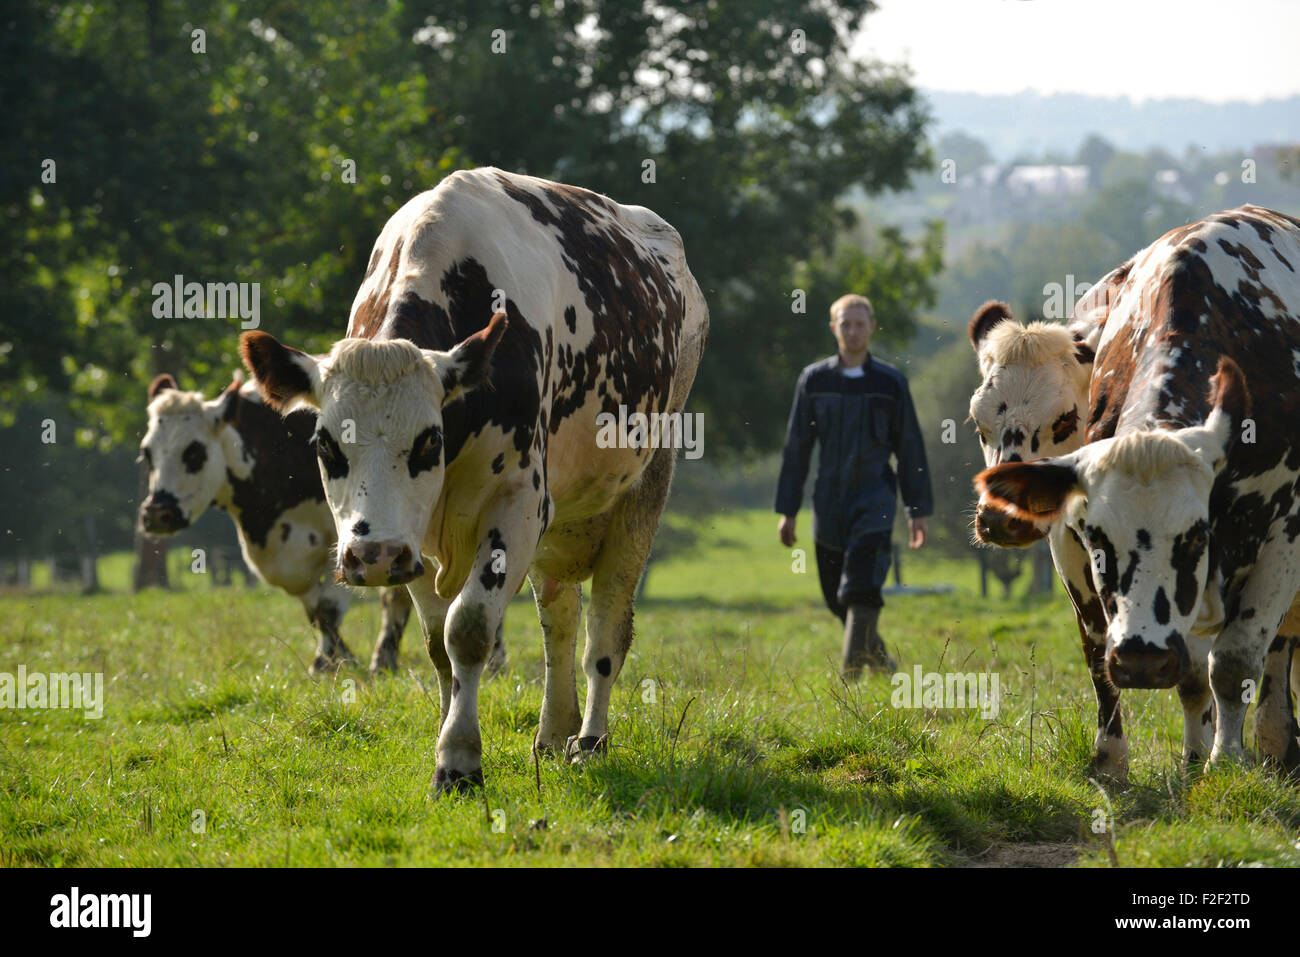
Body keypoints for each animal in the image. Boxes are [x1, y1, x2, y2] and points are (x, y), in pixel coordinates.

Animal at [138, 372, 418, 675]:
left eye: (194, 452)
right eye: (147, 453)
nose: (156, 513)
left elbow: (329, 607)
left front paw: (327, 663)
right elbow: (315, 610)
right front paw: (340, 658)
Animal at [239, 167, 709, 793]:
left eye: (428, 440)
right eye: (325, 444)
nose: (372, 556)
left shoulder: (517, 505)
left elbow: (468, 629)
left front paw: (459, 762)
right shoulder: (417, 540)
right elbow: (437, 645)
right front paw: (444, 737)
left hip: (643, 486)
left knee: (606, 627)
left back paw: (589, 741)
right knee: (558, 624)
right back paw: (552, 734)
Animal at [974, 205, 1300, 771]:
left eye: (1064, 420)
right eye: (979, 427)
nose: (998, 520)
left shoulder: (1285, 533)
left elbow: (1234, 663)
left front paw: (1225, 763)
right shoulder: (1070, 540)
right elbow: (1109, 655)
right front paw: (1122, 760)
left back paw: (1277, 741)